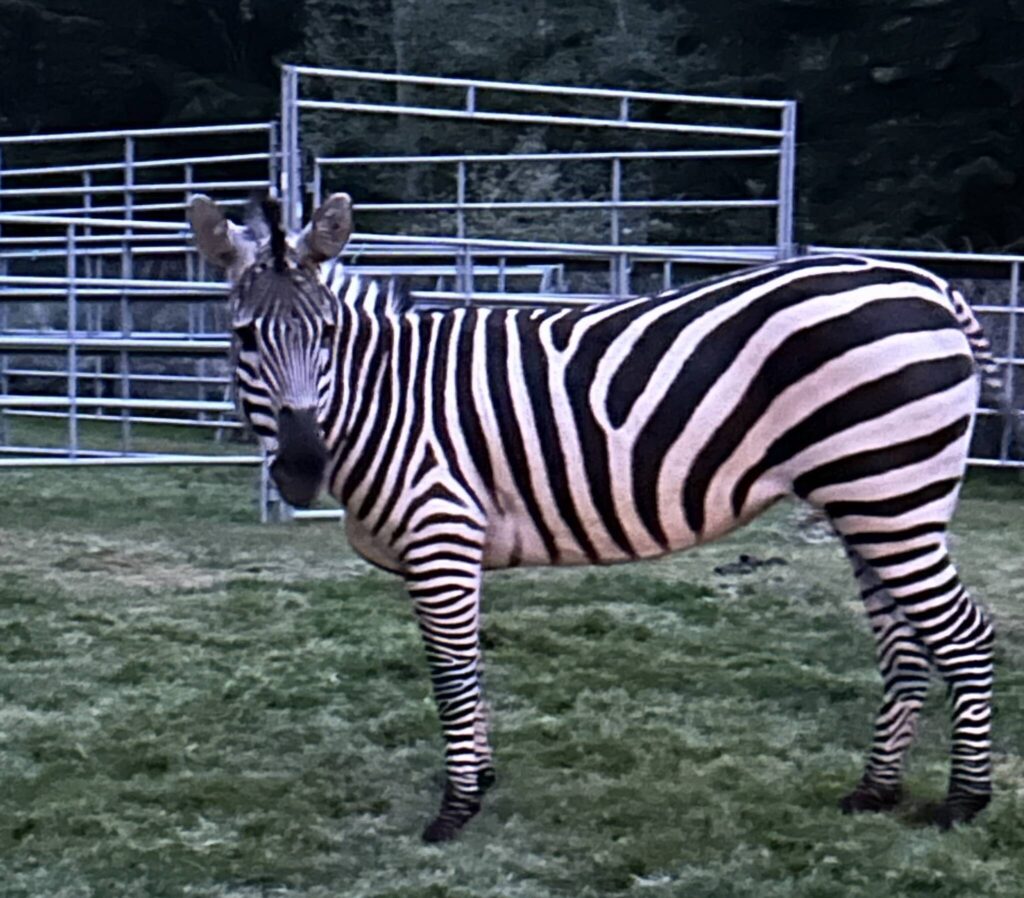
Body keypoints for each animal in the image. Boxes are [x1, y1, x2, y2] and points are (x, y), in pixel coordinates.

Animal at [189, 191, 1004, 842]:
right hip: (870, 499)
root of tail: (930, 283)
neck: (387, 400)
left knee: (964, 636)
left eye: (327, 335)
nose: (301, 468)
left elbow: (450, 673)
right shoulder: (453, 548)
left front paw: (455, 810)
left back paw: (963, 803)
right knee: (904, 647)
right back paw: (875, 791)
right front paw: (482, 779)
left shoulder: (440, 534)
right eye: (243, 337)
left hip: (889, 495)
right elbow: (472, 664)